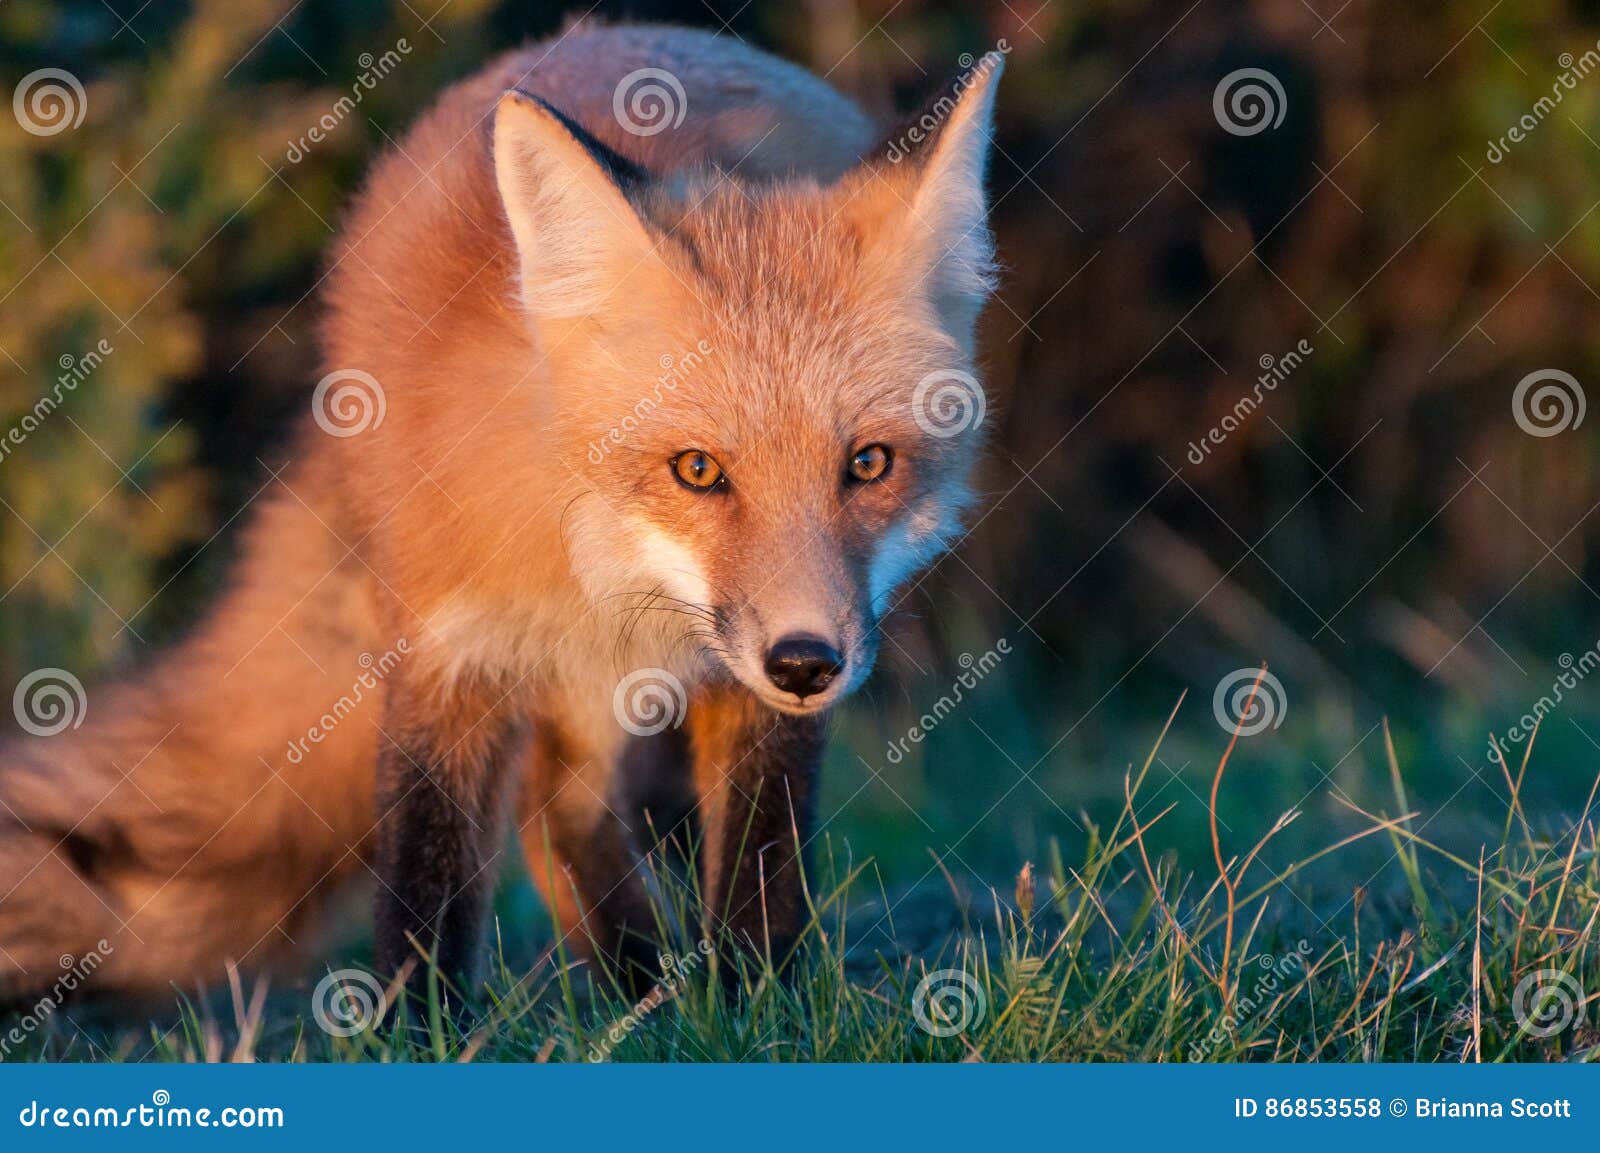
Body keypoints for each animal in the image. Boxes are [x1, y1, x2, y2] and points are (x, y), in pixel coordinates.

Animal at [0, 22, 1002, 1002]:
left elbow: (761, 863)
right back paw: (635, 986)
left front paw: (753, 1008)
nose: (804, 663)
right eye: (698, 470)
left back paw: (642, 988)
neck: (590, 554)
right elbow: (425, 890)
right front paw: (418, 1030)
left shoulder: (749, 682)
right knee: (554, 807)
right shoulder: (448, 651)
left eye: (868, 465)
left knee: (569, 807)